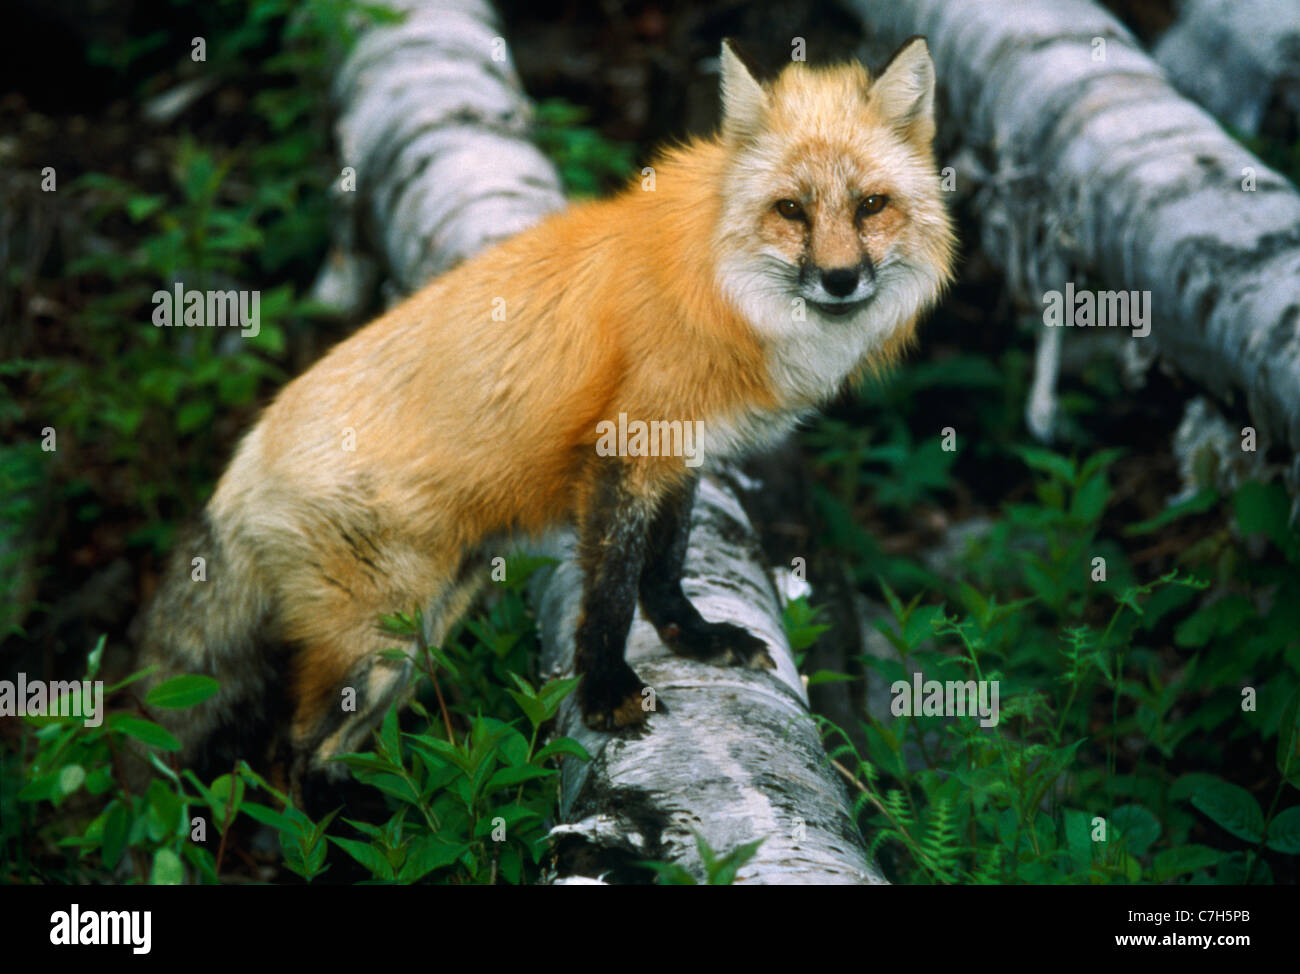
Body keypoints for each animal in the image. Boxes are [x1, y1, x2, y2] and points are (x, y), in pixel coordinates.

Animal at [134, 37, 956, 797]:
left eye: (871, 206)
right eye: (790, 210)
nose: (841, 280)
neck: (726, 289)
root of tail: (241, 462)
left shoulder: (680, 451)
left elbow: (665, 568)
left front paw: (694, 638)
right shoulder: (623, 450)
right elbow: (612, 593)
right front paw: (606, 694)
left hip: (429, 625)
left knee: (329, 753)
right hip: (380, 643)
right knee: (289, 756)